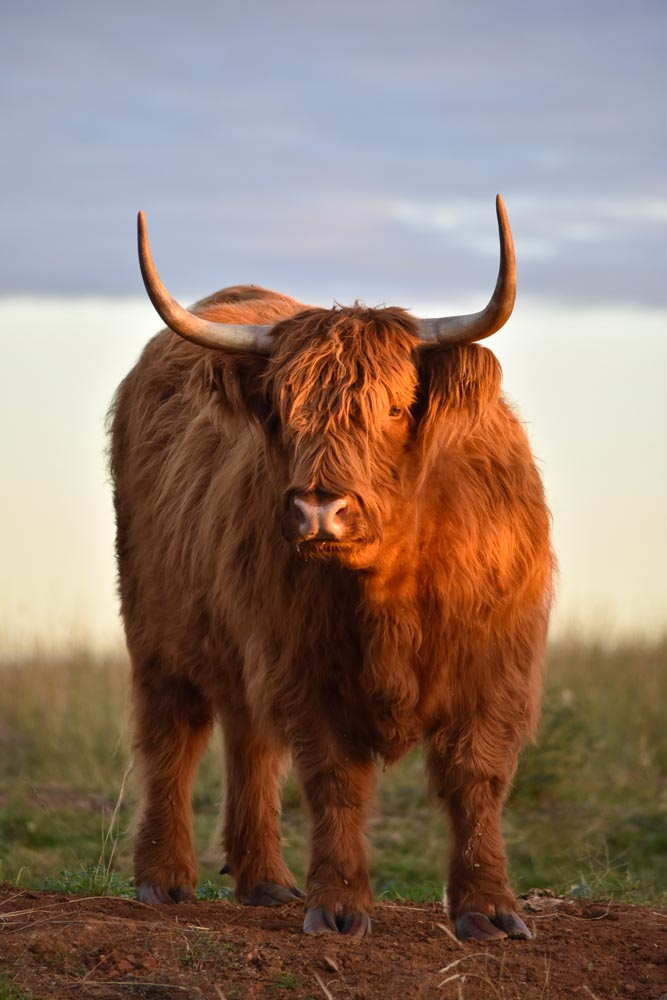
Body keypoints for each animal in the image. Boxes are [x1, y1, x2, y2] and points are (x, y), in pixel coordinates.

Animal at [109, 195, 553, 942]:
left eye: (397, 406)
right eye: (284, 412)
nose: (320, 511)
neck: (391, 586)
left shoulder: (495, 671)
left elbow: (476, 778)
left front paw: (490, 910)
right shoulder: (303, 667)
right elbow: (334, 780)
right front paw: (340, 906)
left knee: (249, 742)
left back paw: (264, 880)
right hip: (156, 627)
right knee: (172, 736)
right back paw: (163, 879)